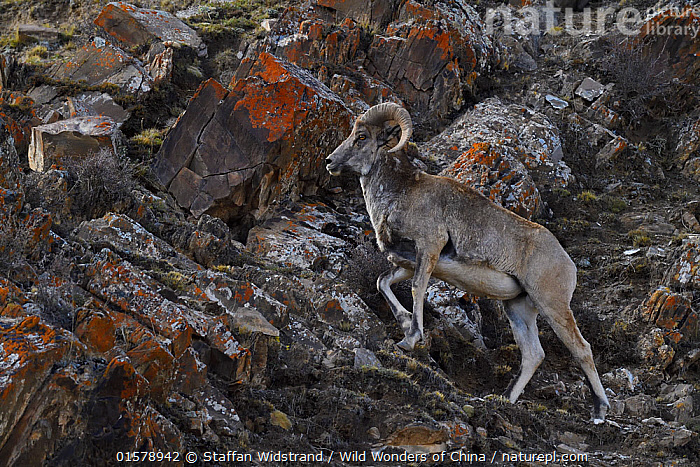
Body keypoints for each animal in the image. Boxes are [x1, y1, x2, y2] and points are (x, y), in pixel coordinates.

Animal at [325, 102, 610, 423]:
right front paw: (405, 324)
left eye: (361, 136)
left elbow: (416, 289)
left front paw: (410, 339)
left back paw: (599, 411)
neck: (401, 194)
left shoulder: (429, 249)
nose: (330, 162)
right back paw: (502, 399)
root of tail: (568, 264)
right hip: (518, 308)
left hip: (552, 305)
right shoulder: (407, 262)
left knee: (581, 349)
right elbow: (382, 282)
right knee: (533, 355)